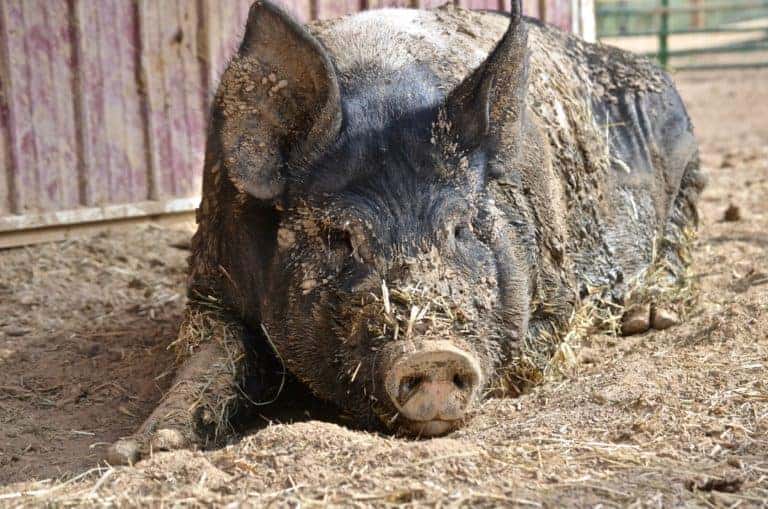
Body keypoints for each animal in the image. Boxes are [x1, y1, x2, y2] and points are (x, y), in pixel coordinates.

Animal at [109, 0, 705, 464]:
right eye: (338, 235)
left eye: (462, 227)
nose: (433, 354)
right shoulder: (209, 288)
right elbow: (210, 357)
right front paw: (143, 450)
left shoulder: (556, 299)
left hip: (689, 178)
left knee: (678, 248)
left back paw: (649, 318)